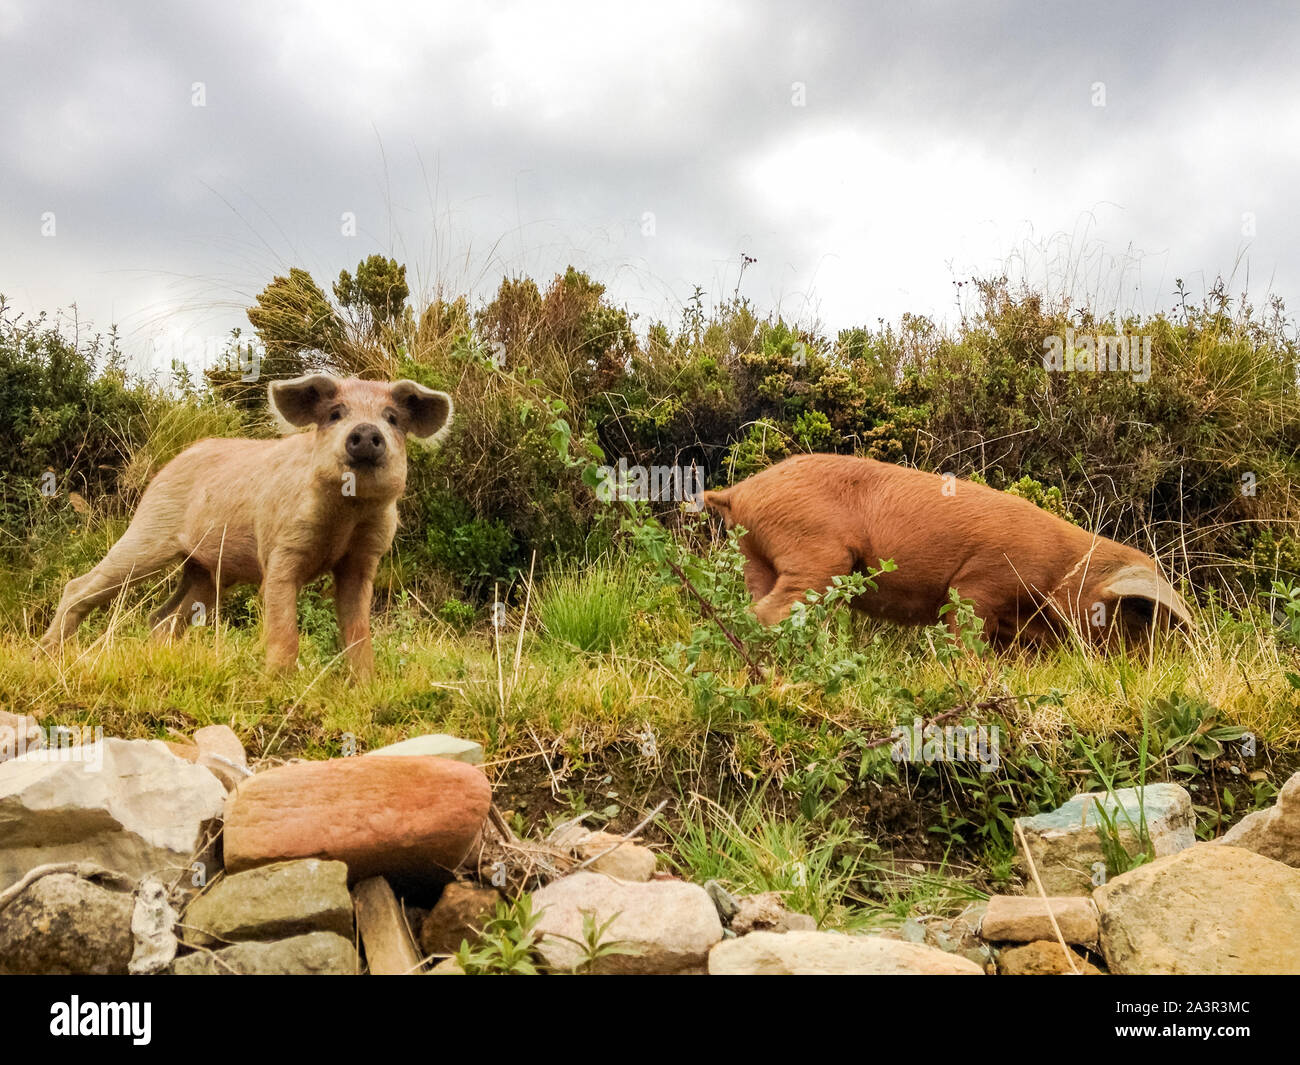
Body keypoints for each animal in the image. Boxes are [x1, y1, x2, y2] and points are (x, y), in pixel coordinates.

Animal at [39, 373, 452, 676]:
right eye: (336, 413)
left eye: (392, 418)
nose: (366, 431)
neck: (347, 515)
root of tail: (170, 464)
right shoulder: (280, 548)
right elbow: (283, 628)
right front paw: (279, 684)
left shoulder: (365, 559)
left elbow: (358, 630)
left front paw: (365, 684)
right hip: (149, 531)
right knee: (82, 586)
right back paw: (45, 655)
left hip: (205, 572)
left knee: (162, 617)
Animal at [699, 453, 1194, 648]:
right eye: (1132, 613)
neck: (1060, 571)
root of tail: (738, 492)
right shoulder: (980, 581)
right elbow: (966, 630)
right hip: (815, 552)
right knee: (769, 611)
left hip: (754, 556)